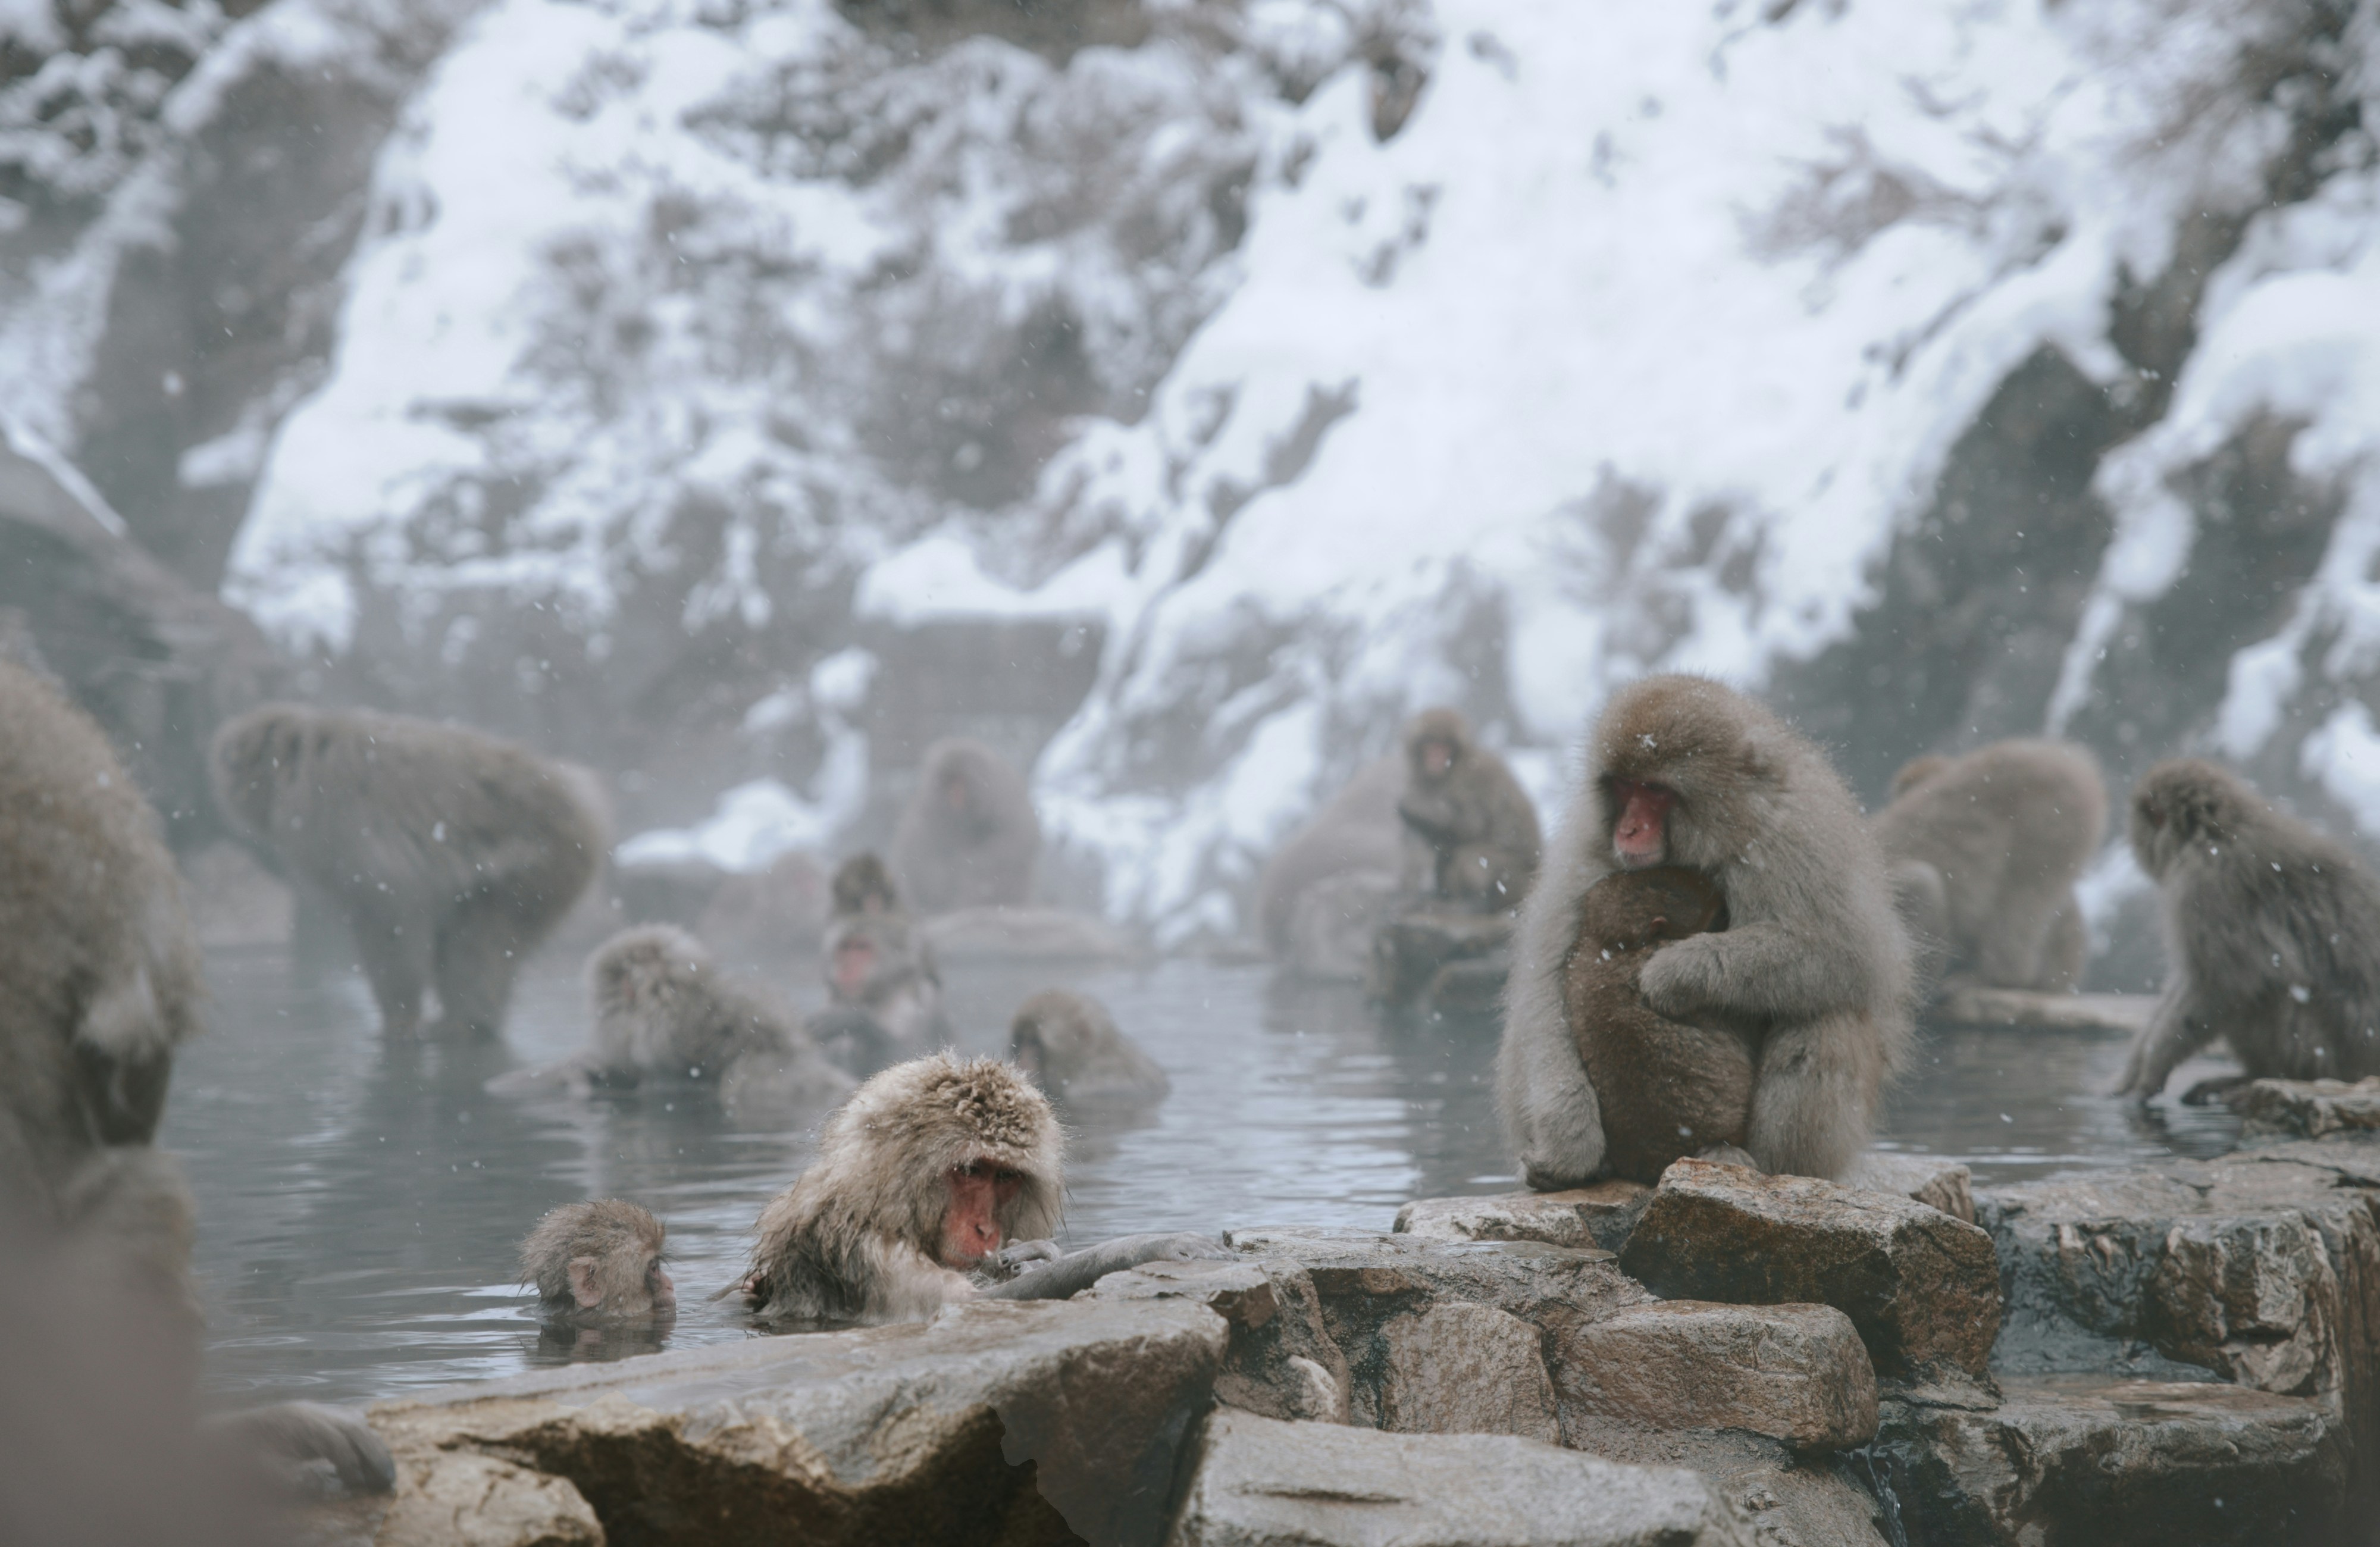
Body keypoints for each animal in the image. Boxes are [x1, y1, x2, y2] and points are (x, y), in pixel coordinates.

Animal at [208, 703, 607, 1037]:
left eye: (235, 755)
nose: (223, 765)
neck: (302, 761)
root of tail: (582, 799)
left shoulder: (333, 817)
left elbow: (387, 908)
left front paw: (398, 1018)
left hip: (538, 866)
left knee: (484, 939)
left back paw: (465, 1021)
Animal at [735, 1052, 1226, 1324]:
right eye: (971, 1170)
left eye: (1005, 1177)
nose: (986, 1229)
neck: (883, 1211)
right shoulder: (871, 1256)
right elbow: (974, 1305)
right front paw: (1154, 1245)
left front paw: (1035, 1257)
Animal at [889, 738, 1041, 914]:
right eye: (949, 785)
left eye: (960, 783)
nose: (954, 796)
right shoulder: (930, 808)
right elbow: (917, 849)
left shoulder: (1003, 795)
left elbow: (1019, 835)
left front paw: (970, 863)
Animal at [1395, 708, 1542, 913]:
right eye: (1430, 745)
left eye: (1444, 747)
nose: (1436, 759)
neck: (1449, 772)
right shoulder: (1418, 781)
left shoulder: (1473, 780)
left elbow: (1472, 826)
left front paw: (1417, 808)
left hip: (1516, 878)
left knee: (1472, 856)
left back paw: (1476, 902)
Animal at [2114, 759, 2380, 1104]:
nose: (2130, 840)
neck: (2217, 833)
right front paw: (2134, 1068)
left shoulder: (2208, 890)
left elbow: (2218, 985)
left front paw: (2152, 1070)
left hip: (2324, 1052)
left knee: (2268, 990)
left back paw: (2262, 1078)